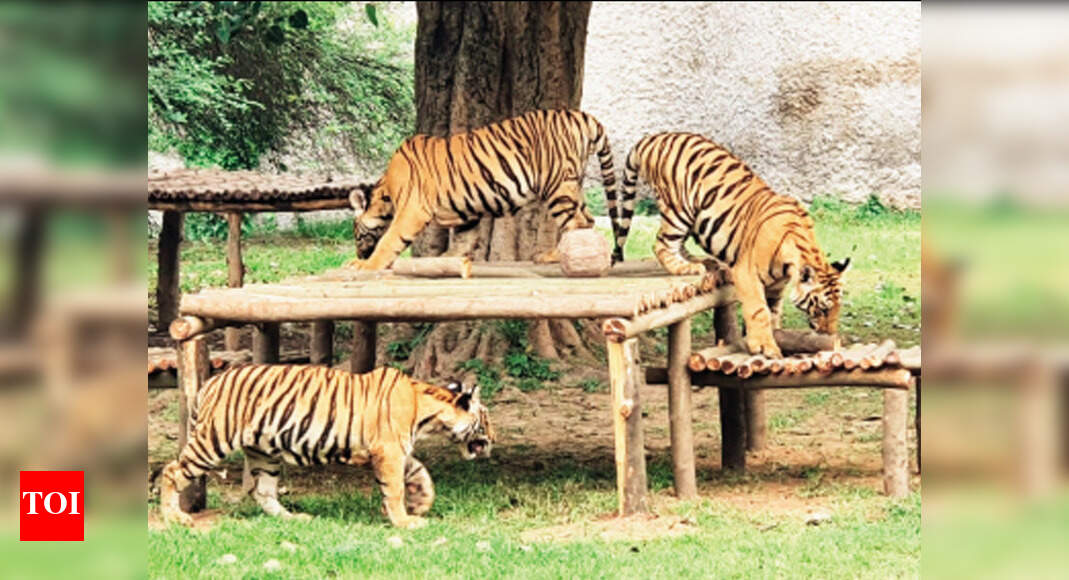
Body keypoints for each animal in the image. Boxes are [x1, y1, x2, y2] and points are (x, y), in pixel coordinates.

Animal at [158, 365, 493, 529]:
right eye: (486, 420)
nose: (494, 440)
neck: (427, 412)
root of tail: (210, 382)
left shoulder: (396, 451)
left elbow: (420, 473)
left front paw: (422, 502)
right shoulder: (388, 451)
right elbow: (395, 489)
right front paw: (405, 522)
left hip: (264, 452)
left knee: (263, 491)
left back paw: (293, 519)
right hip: (214, 439)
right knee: (172, 470)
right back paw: (174, 517)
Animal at [347, 109, 619, 269]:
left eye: (356, 233)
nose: (360, 254)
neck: (387, 192)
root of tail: (582, 116)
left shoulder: (412, 211)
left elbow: (390, 239)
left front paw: (366, 266)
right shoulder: (466, 211)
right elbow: (464, 239)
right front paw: (449, 260)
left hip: (558, 187)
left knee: (575, 223)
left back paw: (552, 257)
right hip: (573, 185)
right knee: (588, 220)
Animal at [612, 132, 850, 358]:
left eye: (838, 308)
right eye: (823, 309)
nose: (830, 334)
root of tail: (653, 137)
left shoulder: (776, 287)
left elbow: (772, 313)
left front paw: (776, 337)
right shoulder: (747, 274)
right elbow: (759, 311)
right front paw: (765, 347)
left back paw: (702, 262)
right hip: (680, 208)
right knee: (661, 244)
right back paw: (687, 267)